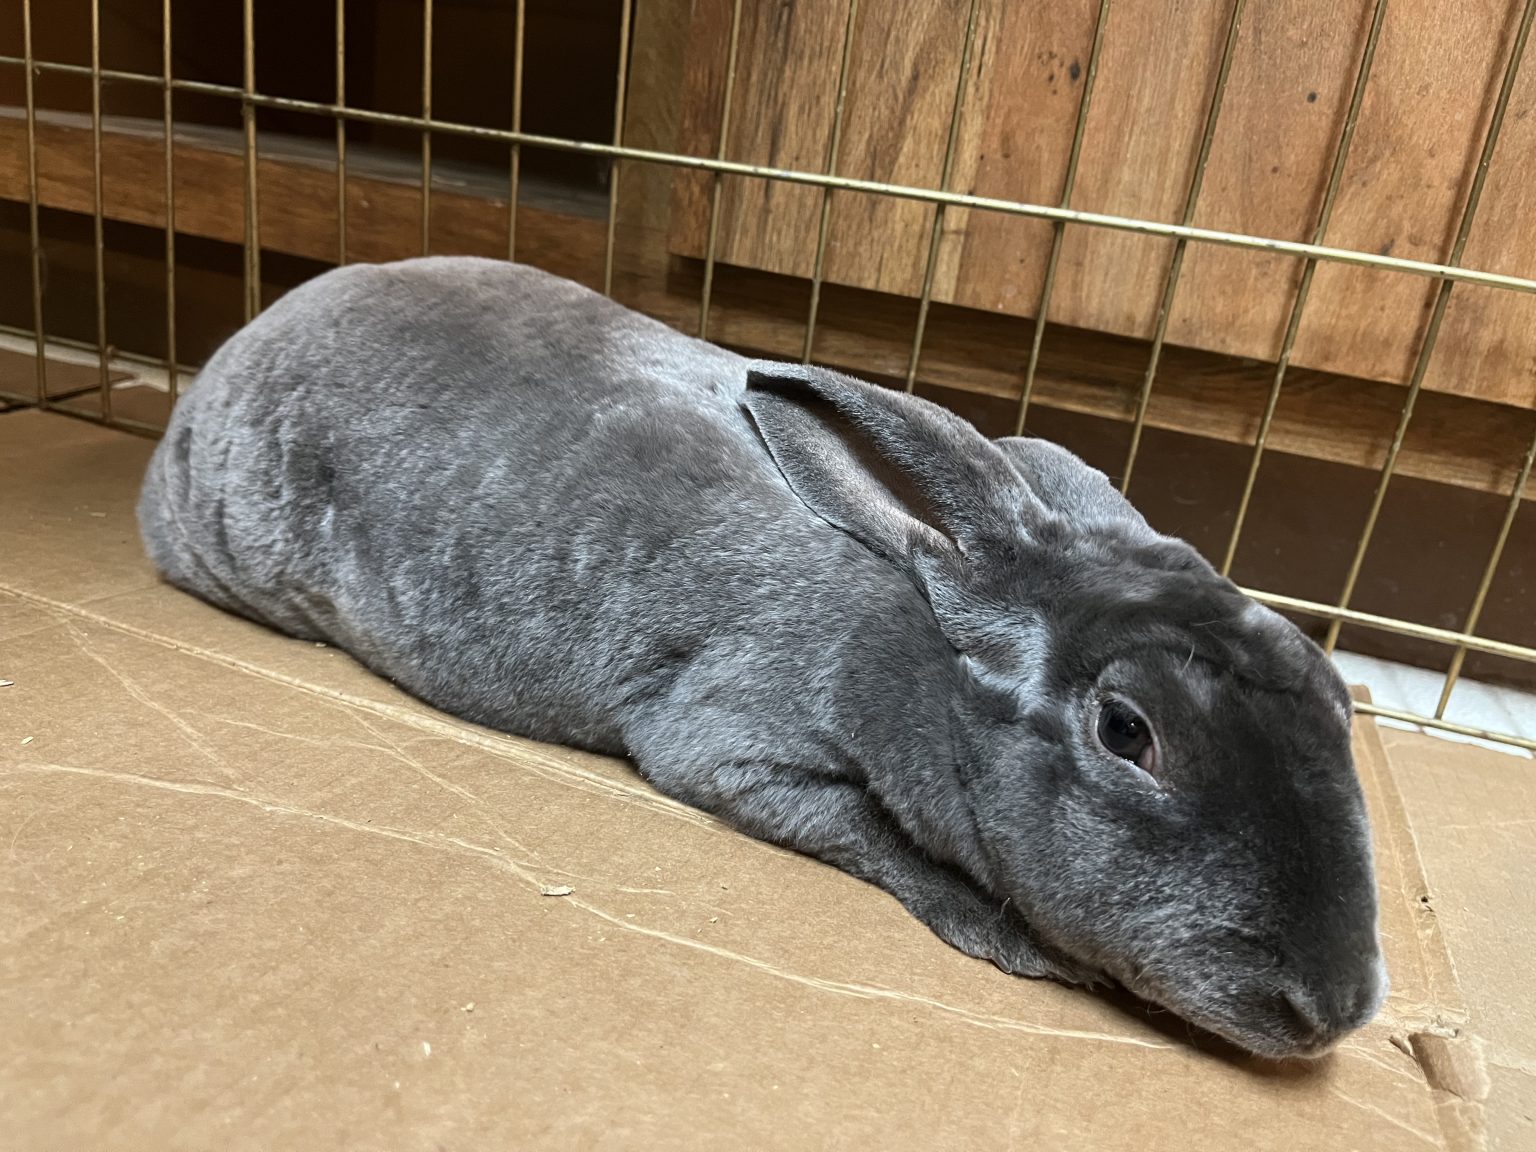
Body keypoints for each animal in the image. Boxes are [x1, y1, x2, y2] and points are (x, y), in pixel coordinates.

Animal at [137, 256, 1386, 1059]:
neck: (923, 641)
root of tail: (235, 349)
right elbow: (880, 839)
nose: (1334, 1011)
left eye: (1335, 696)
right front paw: (1023, 945)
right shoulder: (732, 747)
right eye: (1129, 731)